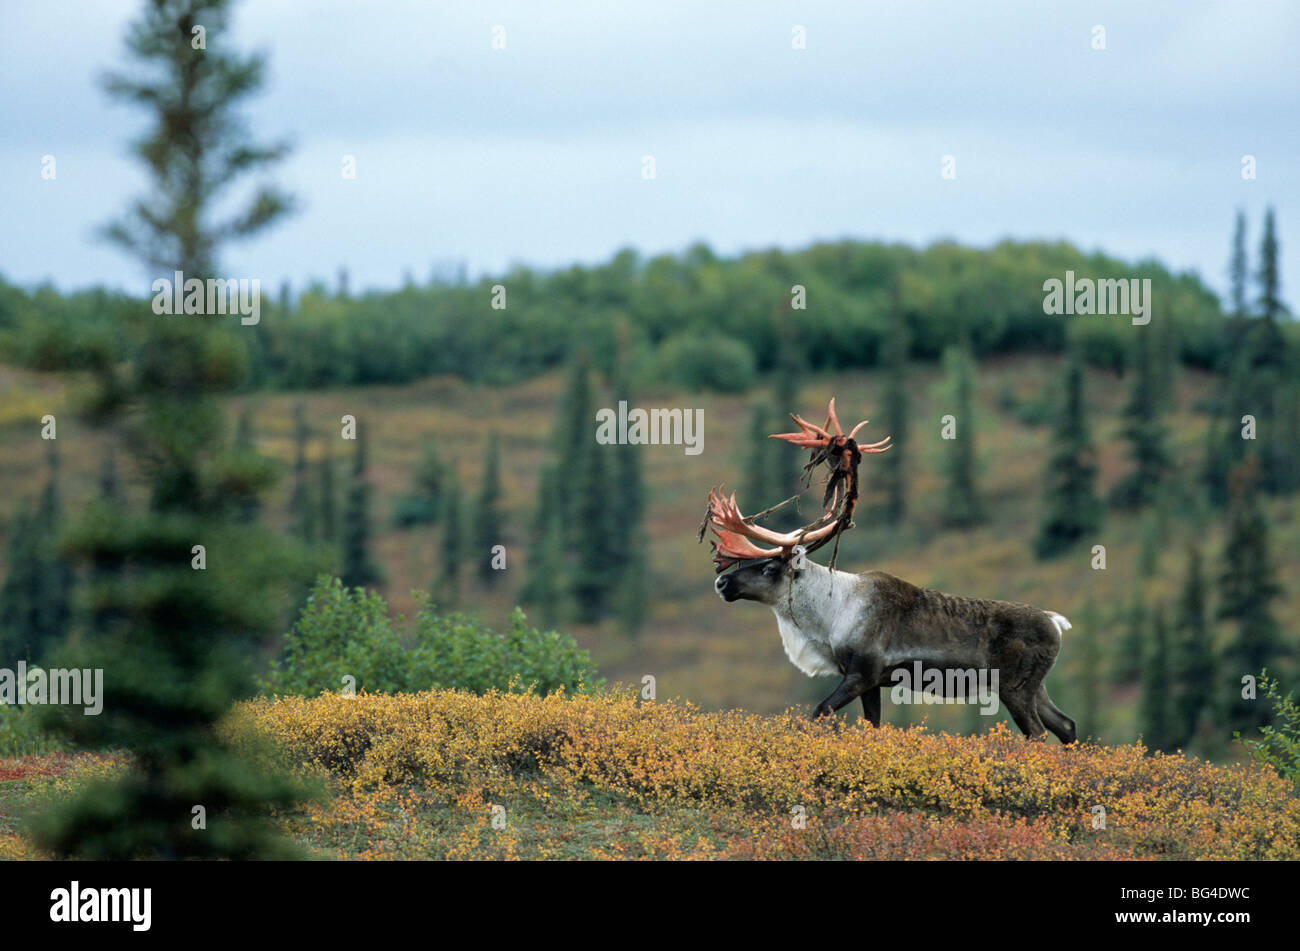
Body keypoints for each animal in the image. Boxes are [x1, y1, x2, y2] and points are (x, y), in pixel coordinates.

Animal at [703, 399, 1076, 743]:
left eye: (768, 567)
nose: (721, 582)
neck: (828, 616)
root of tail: (1056, 623)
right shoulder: (872, 682)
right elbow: (873, 726)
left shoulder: (863, 673)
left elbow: (819, 711)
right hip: (1036, 686)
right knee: (1066, 725)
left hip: (1015, 686)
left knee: (1039, 733)